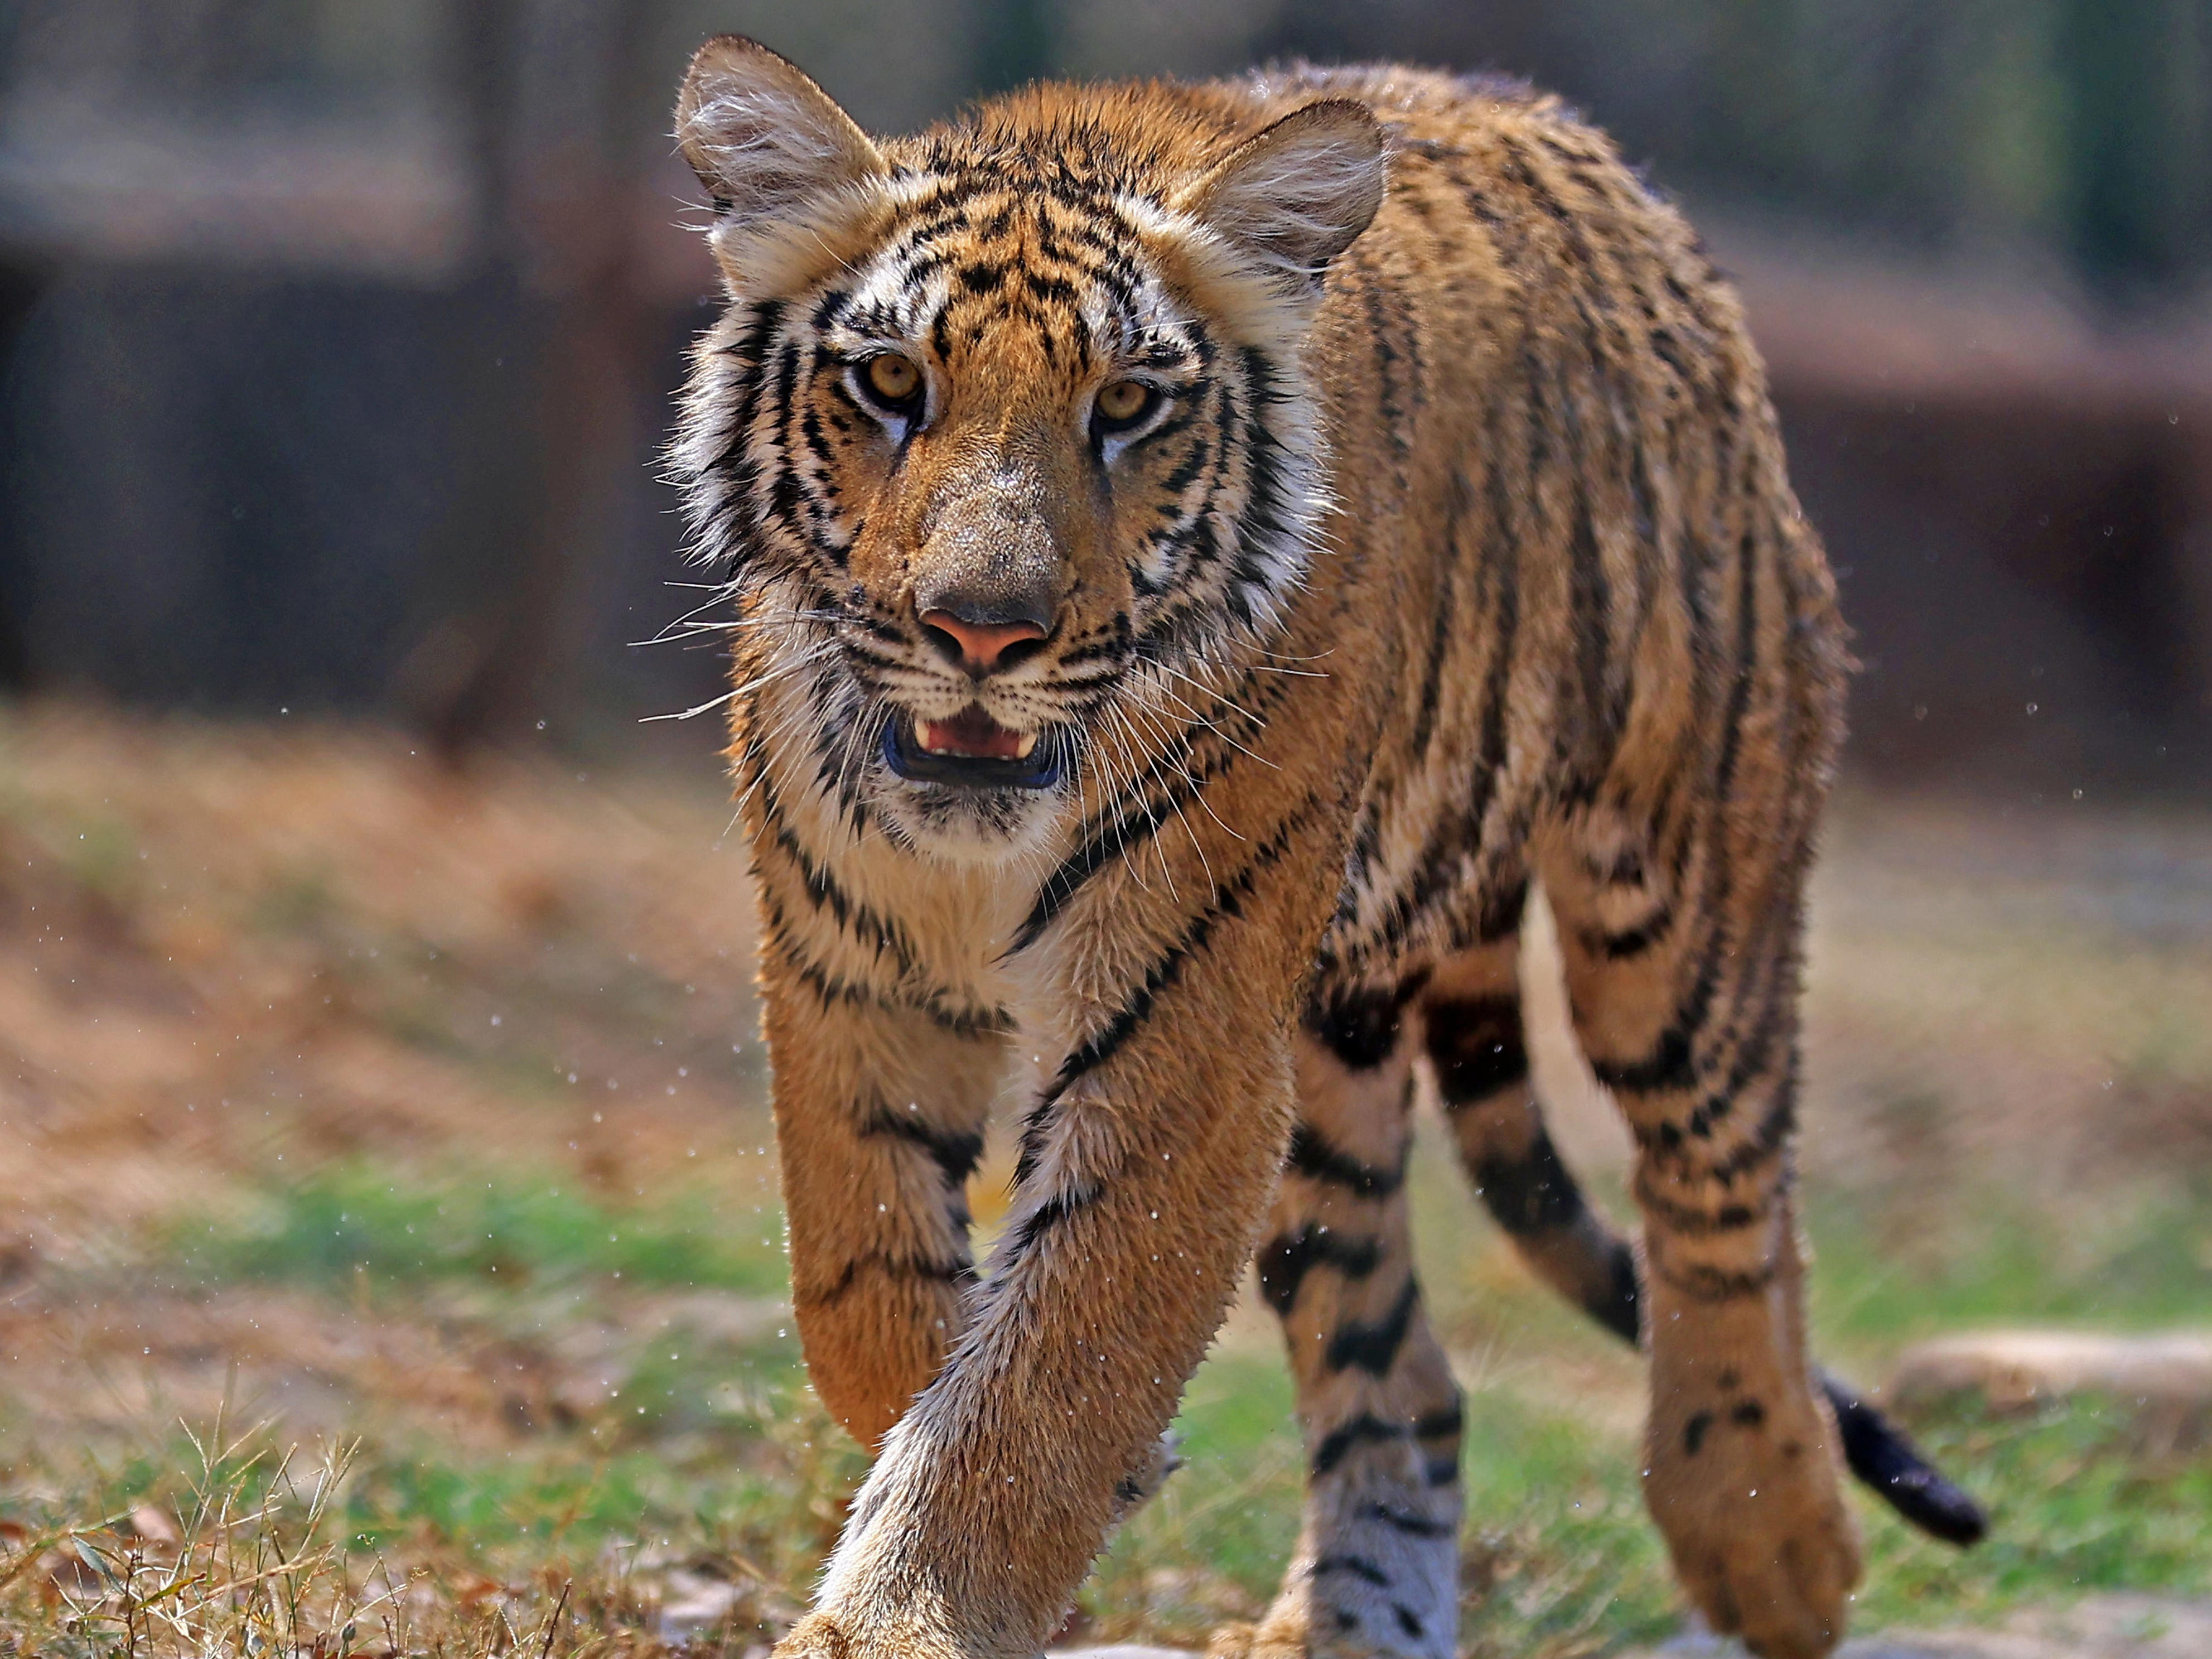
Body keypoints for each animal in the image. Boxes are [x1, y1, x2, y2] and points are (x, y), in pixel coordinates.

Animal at [667, 37, 1982, 1659]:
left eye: (1127, 403)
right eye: (894, 383)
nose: (982, 631)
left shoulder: (1178, 1046)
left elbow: (1039, 1377)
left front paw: (914, 1604)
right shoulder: (850, 971)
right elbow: (855, 1281)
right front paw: (1013, 1416)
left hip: (1678, 889)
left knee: (1727, 1203)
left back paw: (1766, 1531)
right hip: (1325, 1063)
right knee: (1404, 1372)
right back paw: (1347, 1618)